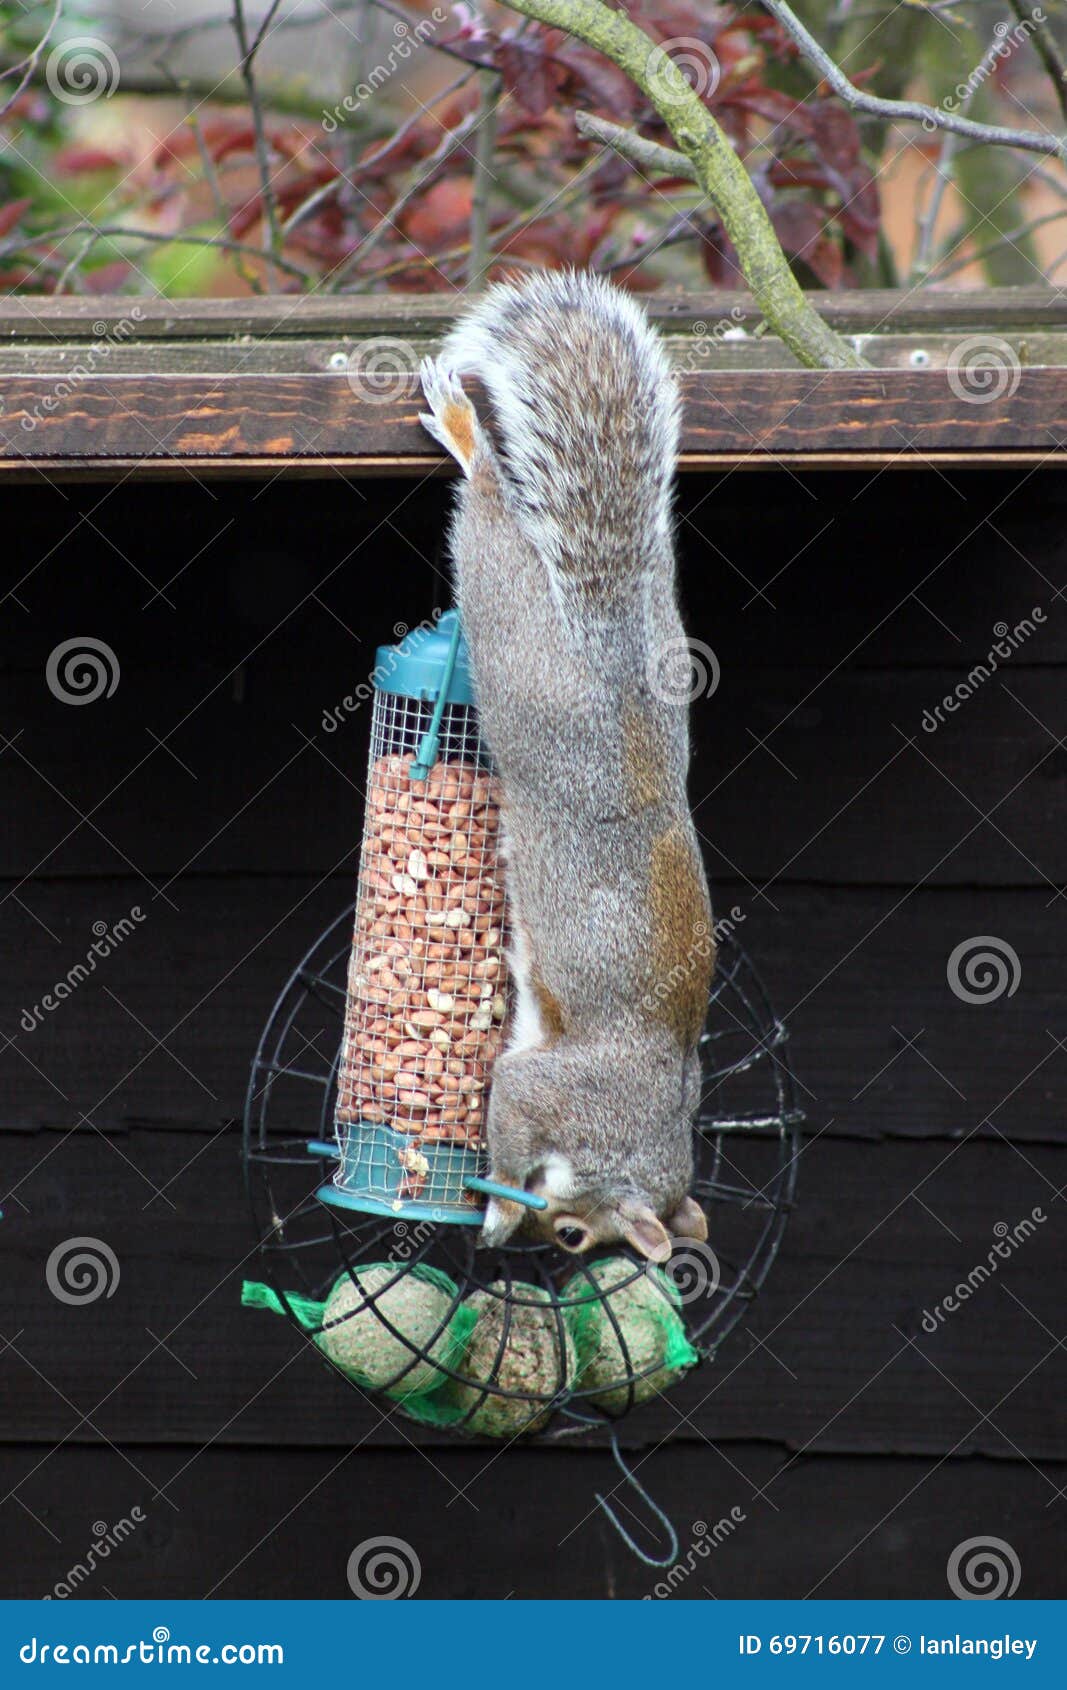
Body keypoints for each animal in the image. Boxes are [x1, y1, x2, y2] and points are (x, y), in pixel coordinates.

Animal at [419, 270, 713, 1264]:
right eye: (583, 1239)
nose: (545, 1245)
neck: (642, 1127)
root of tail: (613, 654)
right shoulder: (557, 1088)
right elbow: (512, 1122)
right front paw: (499, 1213)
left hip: (660, 624)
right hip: (524, 661)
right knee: (490, 534)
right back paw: (464, 432)